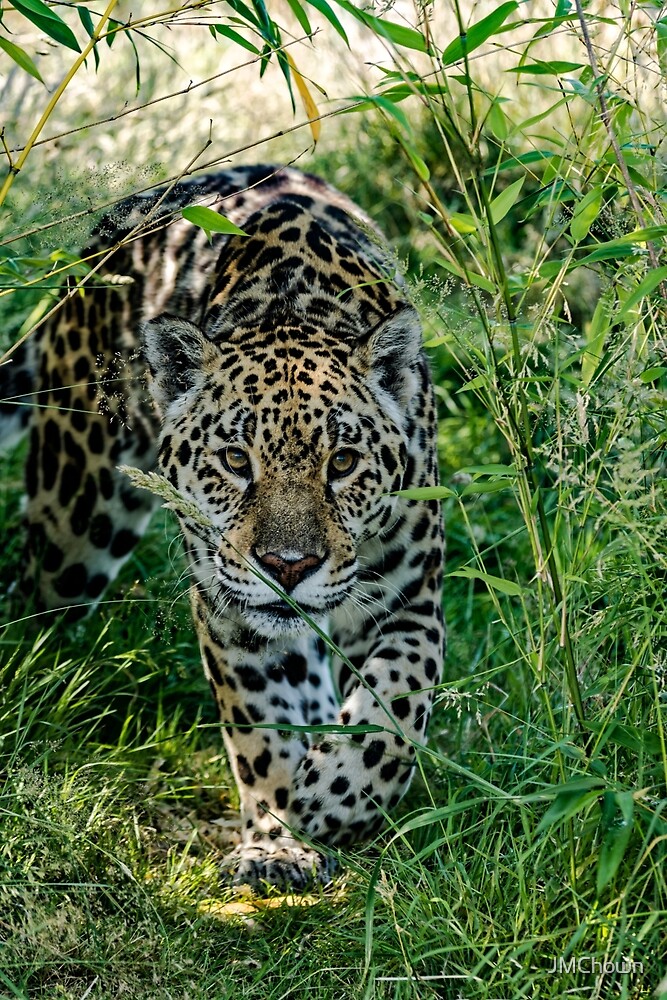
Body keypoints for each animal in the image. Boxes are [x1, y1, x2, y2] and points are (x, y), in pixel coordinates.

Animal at [1, 164, 445, 891]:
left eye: (342, 462)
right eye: (236, 461)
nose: (289, 565)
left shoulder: (411, 597)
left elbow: (396, 703)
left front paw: (335, 797)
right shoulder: (234, 614)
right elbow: (262, 729)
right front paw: (280, 838)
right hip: (76, 524)